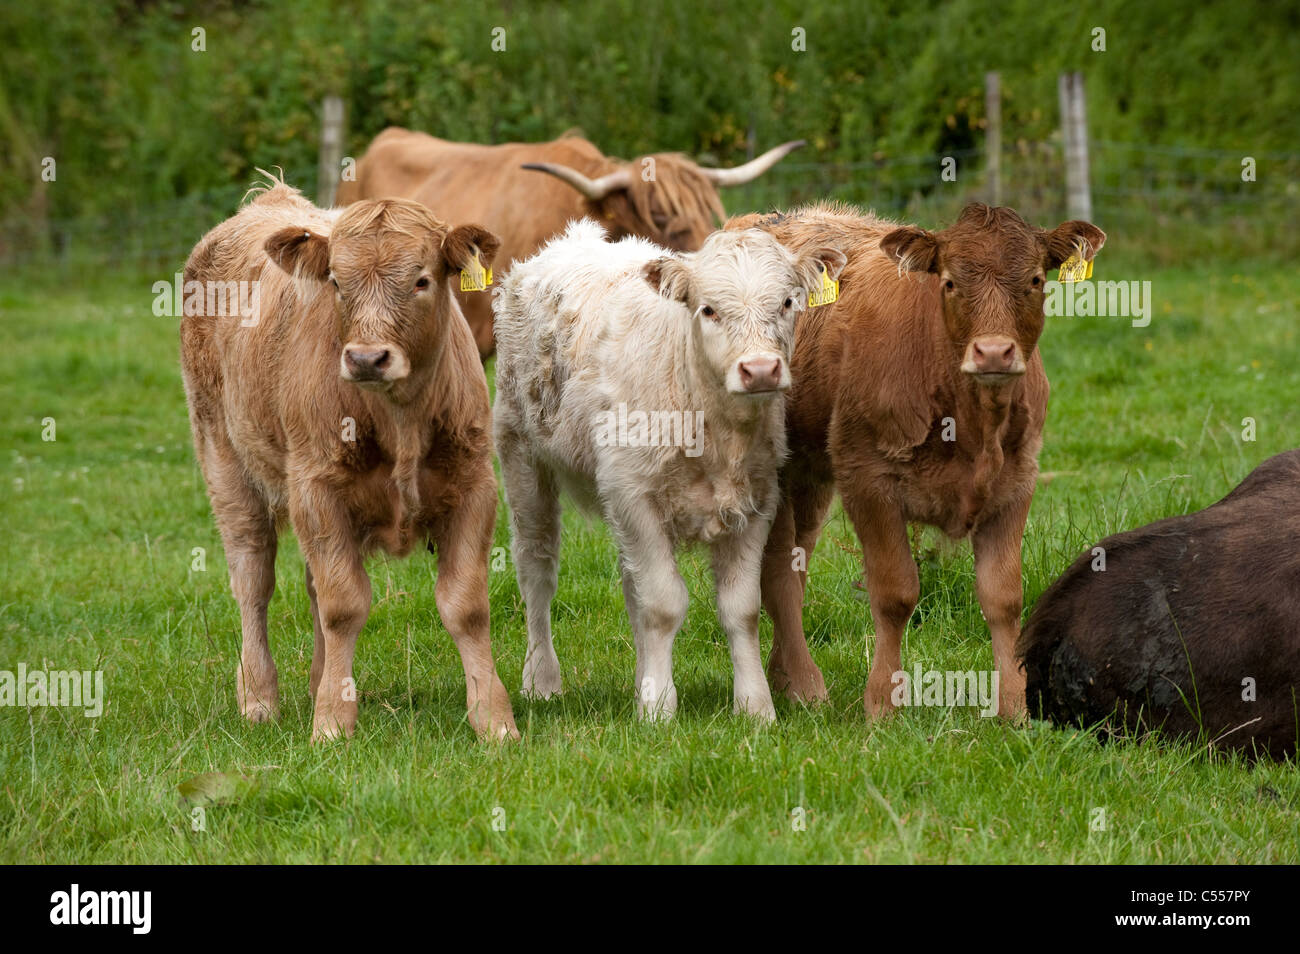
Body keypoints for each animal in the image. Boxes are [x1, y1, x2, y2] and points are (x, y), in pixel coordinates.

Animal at [180, 173, 518, 742]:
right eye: (337, 282)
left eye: (422, 280)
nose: (365, 358)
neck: (399, 420)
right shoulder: (317, 489)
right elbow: (344, 607)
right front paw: (333, 723)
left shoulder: (474, 487)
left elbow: (466, 607)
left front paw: (494, 720)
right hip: (225, 463)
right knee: (253, 581)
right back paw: (258, 697)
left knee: (311, 586)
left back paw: (320, 680)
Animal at [492, 219, 845, 721]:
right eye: (708, 309)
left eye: (787, 302)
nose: (760, 369)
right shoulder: (635, 499)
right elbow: (662, 605)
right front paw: (659, 707)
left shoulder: (756, 503)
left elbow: (741, 609)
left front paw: (754, 707)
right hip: (522, 458)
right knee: (536, 572)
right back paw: (542, 680)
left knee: (629, 587)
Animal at [727, 202, 1105, 720]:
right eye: (949, 282)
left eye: (1034, 280)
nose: (993, 352)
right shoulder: (867, 479)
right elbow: (895, 593)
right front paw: (883, 703)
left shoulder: (1017, 481)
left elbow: (1003, 596)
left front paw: (1014, 707)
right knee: (781, 574)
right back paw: (805, 685)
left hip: (811, 478)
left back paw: (785, 675)